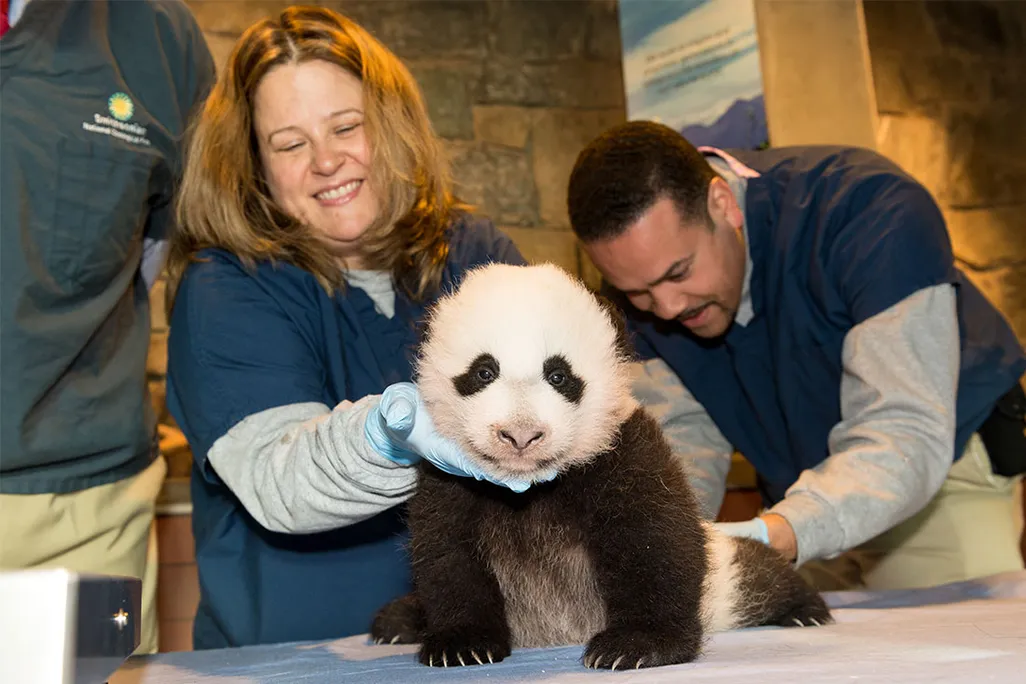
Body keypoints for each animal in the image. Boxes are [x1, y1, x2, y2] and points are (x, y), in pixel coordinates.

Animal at [371, 262, 832, 670]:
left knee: (753, 575)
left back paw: (805, 606)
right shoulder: (449, 478)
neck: (528, 486)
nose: (521, 435)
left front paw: (637, 645)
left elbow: (654, 540)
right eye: (483, 372)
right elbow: (446, 554)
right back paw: (396, 621)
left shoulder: (623, 452)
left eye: (559, 376)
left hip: (725, 579)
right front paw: (463, 643)